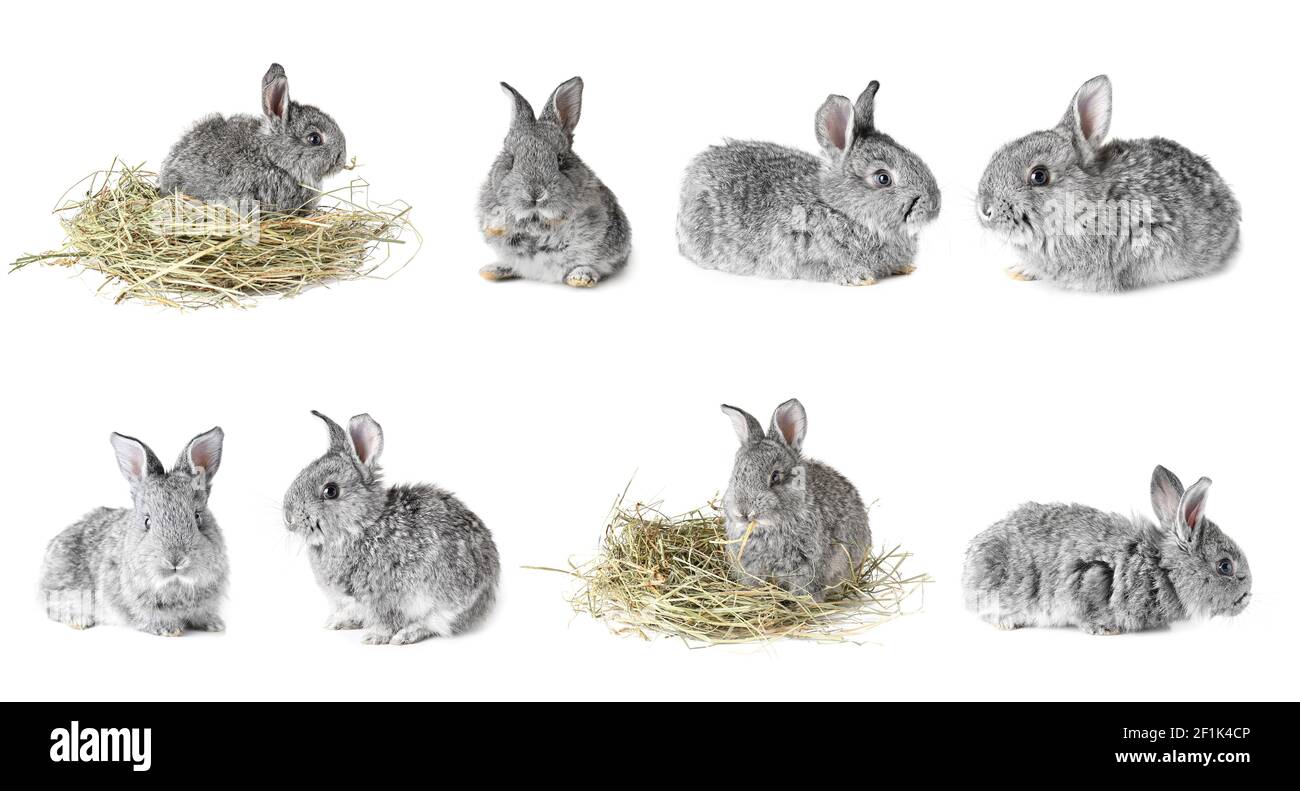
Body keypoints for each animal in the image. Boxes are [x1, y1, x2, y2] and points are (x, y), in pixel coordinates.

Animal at [40, 428, 228, 636]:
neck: (176, 582)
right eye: (147, 521)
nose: (175, 561)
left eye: (197, 517)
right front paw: (169, 629)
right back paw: (79, 619)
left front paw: (214, 625)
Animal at [282, 411, 499, 645]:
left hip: (447, 600)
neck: (364, 525)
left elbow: (388, 620)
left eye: (331, 491)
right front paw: (337, 622)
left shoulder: (387, 596)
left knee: (435, 624)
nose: (288, 518)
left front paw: (375, 637)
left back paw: (406, 634)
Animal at [477, 77, 632, 288]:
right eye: (511, 160)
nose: (535, 193)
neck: (535, 217)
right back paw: (492, 270)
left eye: (560, 160)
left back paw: (580, 277)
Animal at [962, 466, 1252, 635]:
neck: (1162, 569)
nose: (1247, 596)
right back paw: (1007, 623)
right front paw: (1105, 629)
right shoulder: (1091, 576)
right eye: (1225, 566)